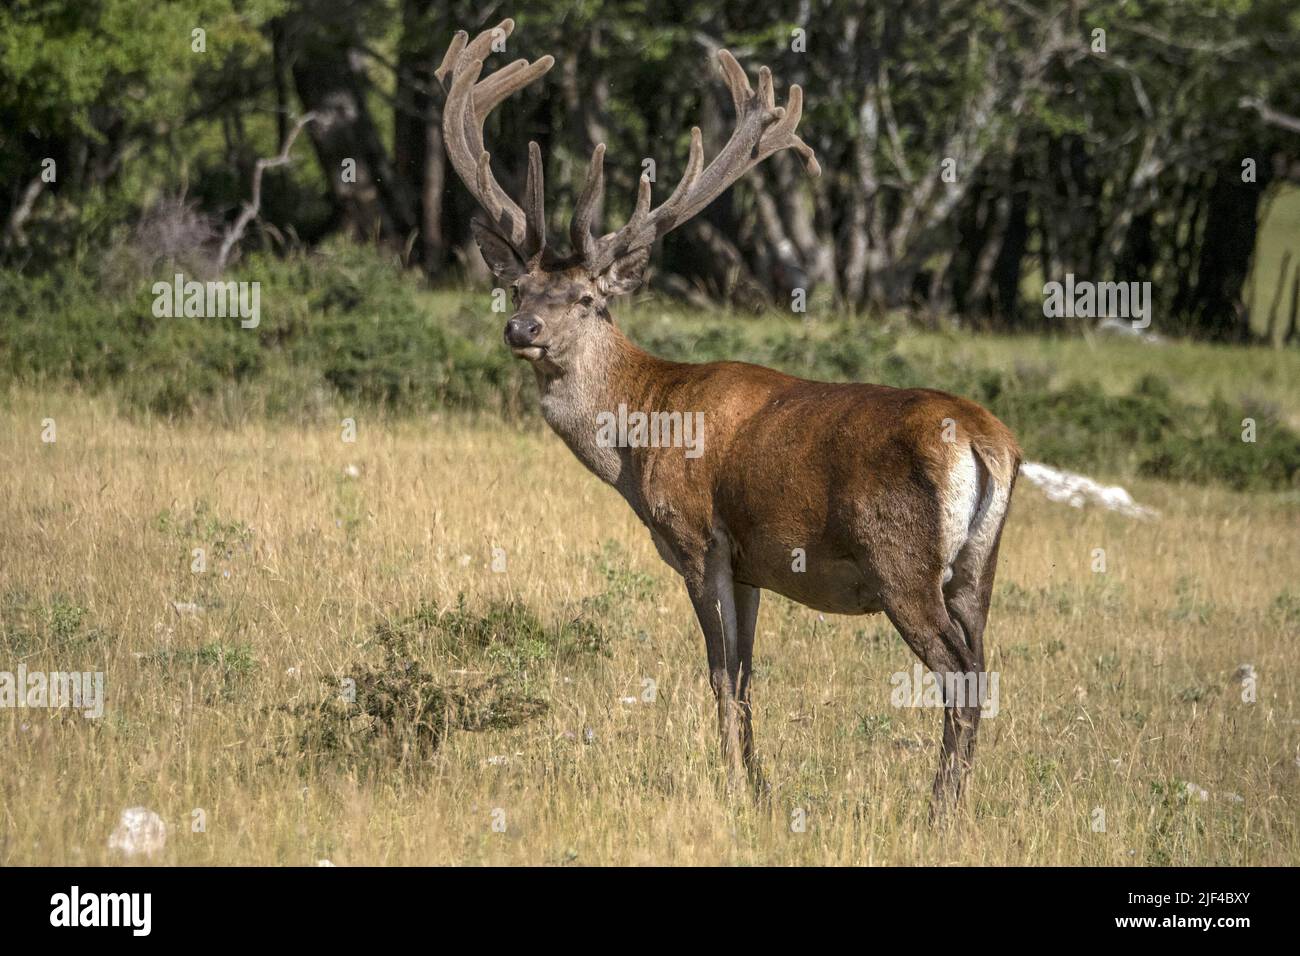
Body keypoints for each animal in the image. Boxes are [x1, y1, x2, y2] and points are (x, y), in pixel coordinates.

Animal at [435, 19, 1021, 816]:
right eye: (520, 287)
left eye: (587, 299)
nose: (521, 329)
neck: (644, 430)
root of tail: (989, 445)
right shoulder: (752, 562)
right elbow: (746, 673)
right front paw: (760, 784)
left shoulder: (697, 536)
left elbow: (720, 672)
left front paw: (734, 786)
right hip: (976, 570)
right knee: (983, 667)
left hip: (900, 562)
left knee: (957, 674)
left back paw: (937, 810)